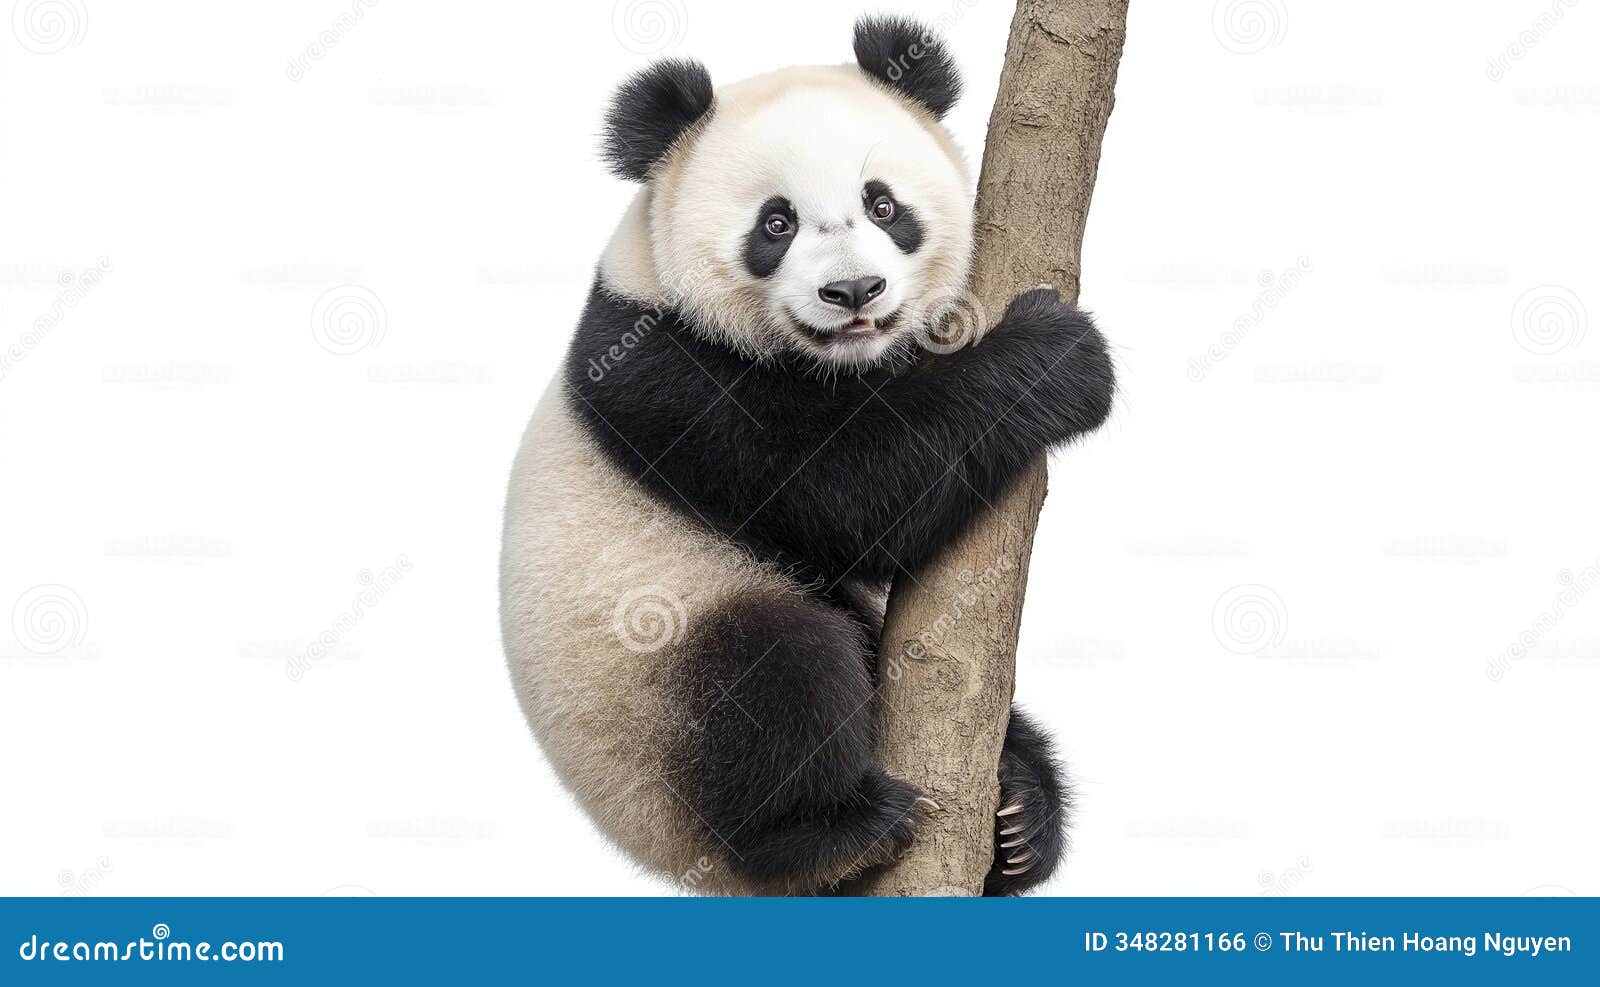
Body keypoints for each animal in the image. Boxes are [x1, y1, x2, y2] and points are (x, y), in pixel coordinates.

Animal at [501, 15, 1114, 896]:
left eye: (883, 204)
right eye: (776, 224)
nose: (854, 292)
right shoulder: (665, 371)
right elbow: (848, 494)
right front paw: (1055, 355)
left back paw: (1020, 812)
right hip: (642, 676)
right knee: (770, 671)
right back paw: (834, 832)